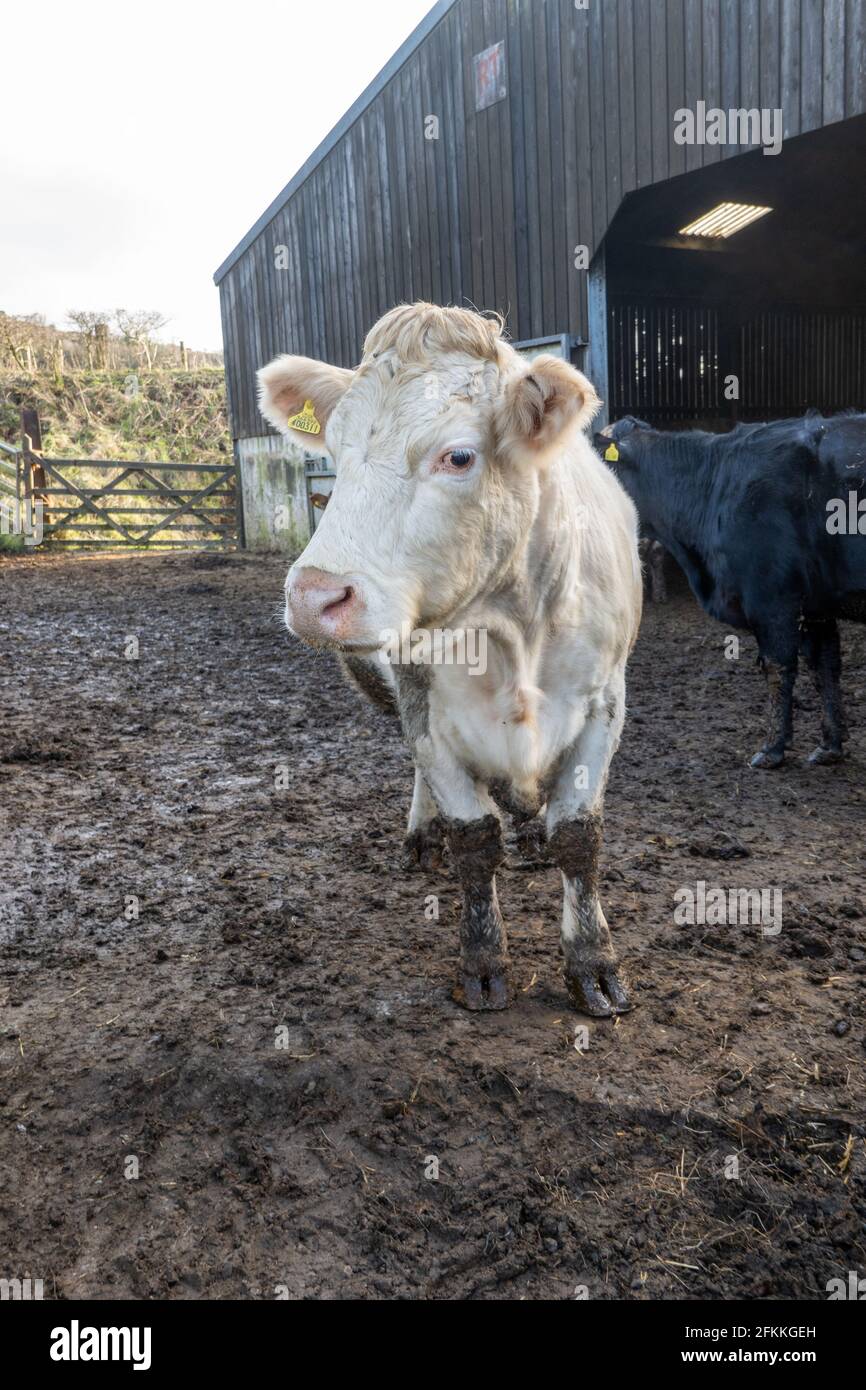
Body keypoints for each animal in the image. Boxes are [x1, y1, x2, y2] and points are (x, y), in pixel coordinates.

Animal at [258, 304, 643, 1016]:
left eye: (458, 455)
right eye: (335, 453)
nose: (312, 597)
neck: (512, 629)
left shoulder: (605, 701)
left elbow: (578, 837)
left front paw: (593, 962)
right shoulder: (426, 707)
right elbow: (473, 838)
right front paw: (483, 959)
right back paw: (422, 835)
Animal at [595, 413, 866, 769]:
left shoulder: (772, 599)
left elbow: (778, 668)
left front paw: (772, 748)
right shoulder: (815, 606)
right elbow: (825, 666)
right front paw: (830, 745)